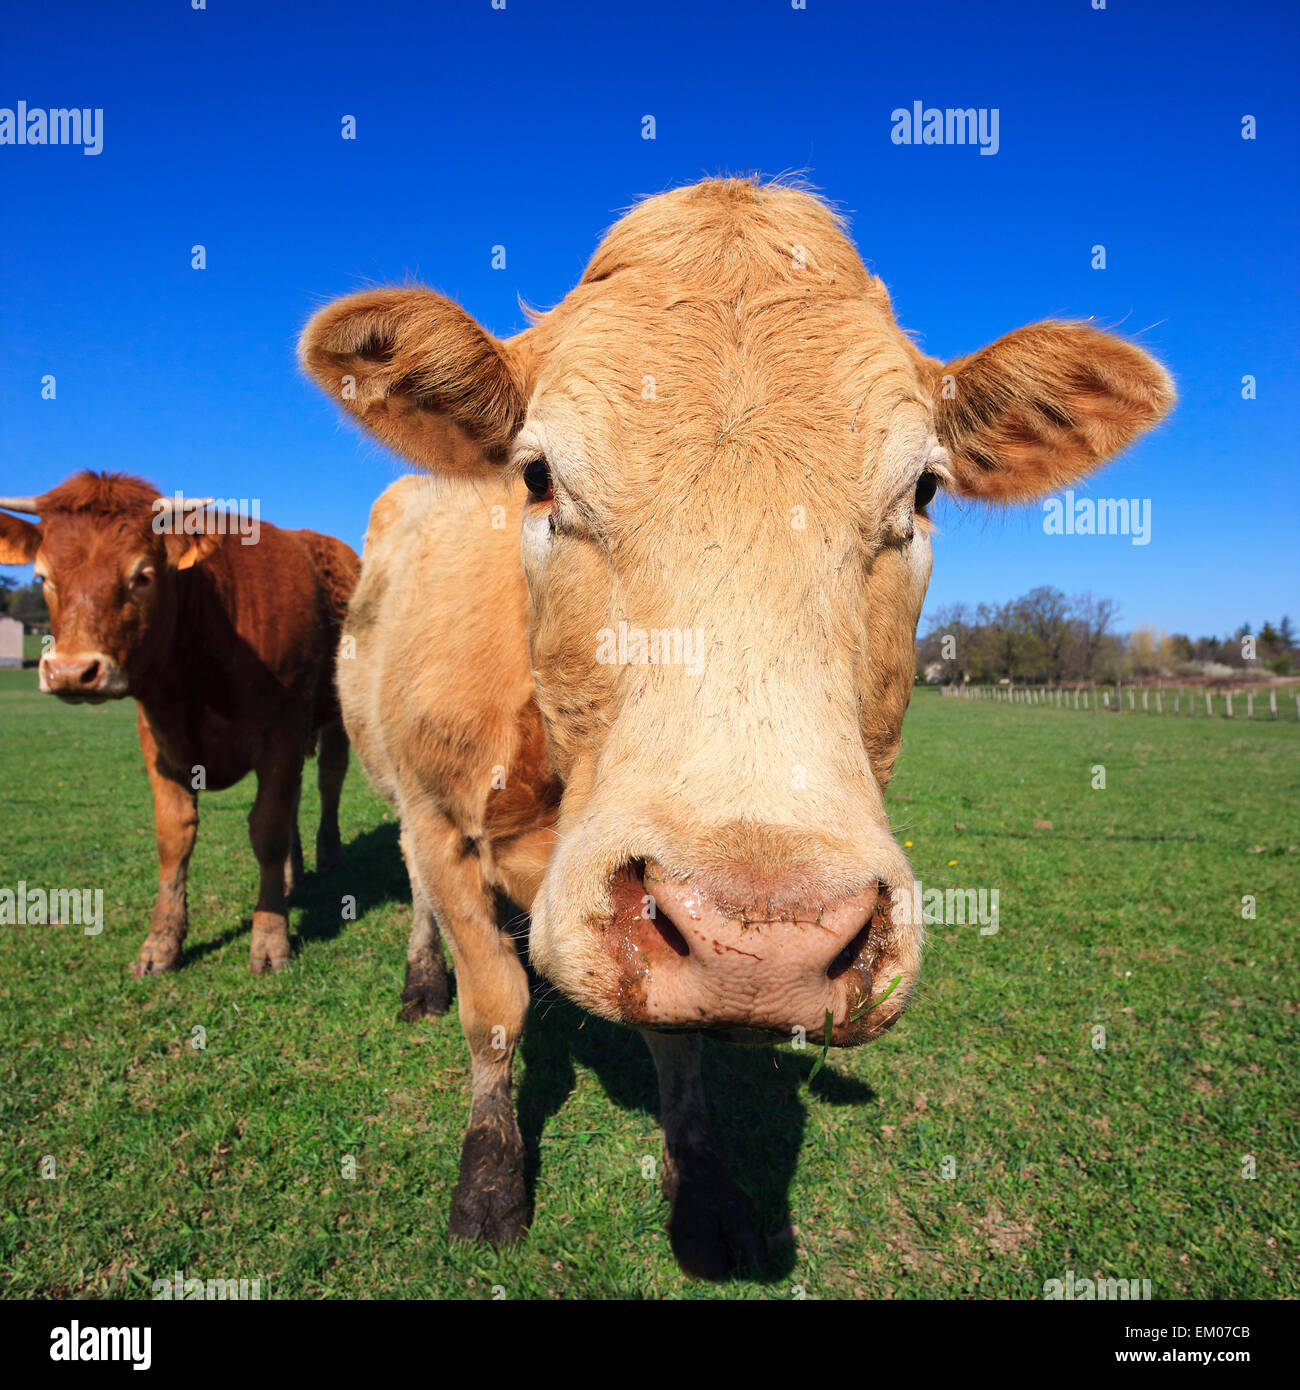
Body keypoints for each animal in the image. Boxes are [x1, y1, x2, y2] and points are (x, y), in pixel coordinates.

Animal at [0, 473, 359, 976]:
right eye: (42, 577)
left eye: (142, 575)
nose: (70, 671)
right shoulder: (159, 741)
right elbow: (174, 836)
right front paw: (162, 942)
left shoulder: (283, 730)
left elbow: (266, 829)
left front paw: (270, 937)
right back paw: (292, 875)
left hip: (337, 715)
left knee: (329, 782)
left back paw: (328, 854)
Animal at [299, 177, 1173, 1275]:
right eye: (535, 476)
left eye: (925, 488)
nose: (767, 940)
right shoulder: (442, 818)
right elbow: (493, 1009)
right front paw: (489, 1183)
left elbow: (679, 1042)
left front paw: (705, 1188)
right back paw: (420, 977)